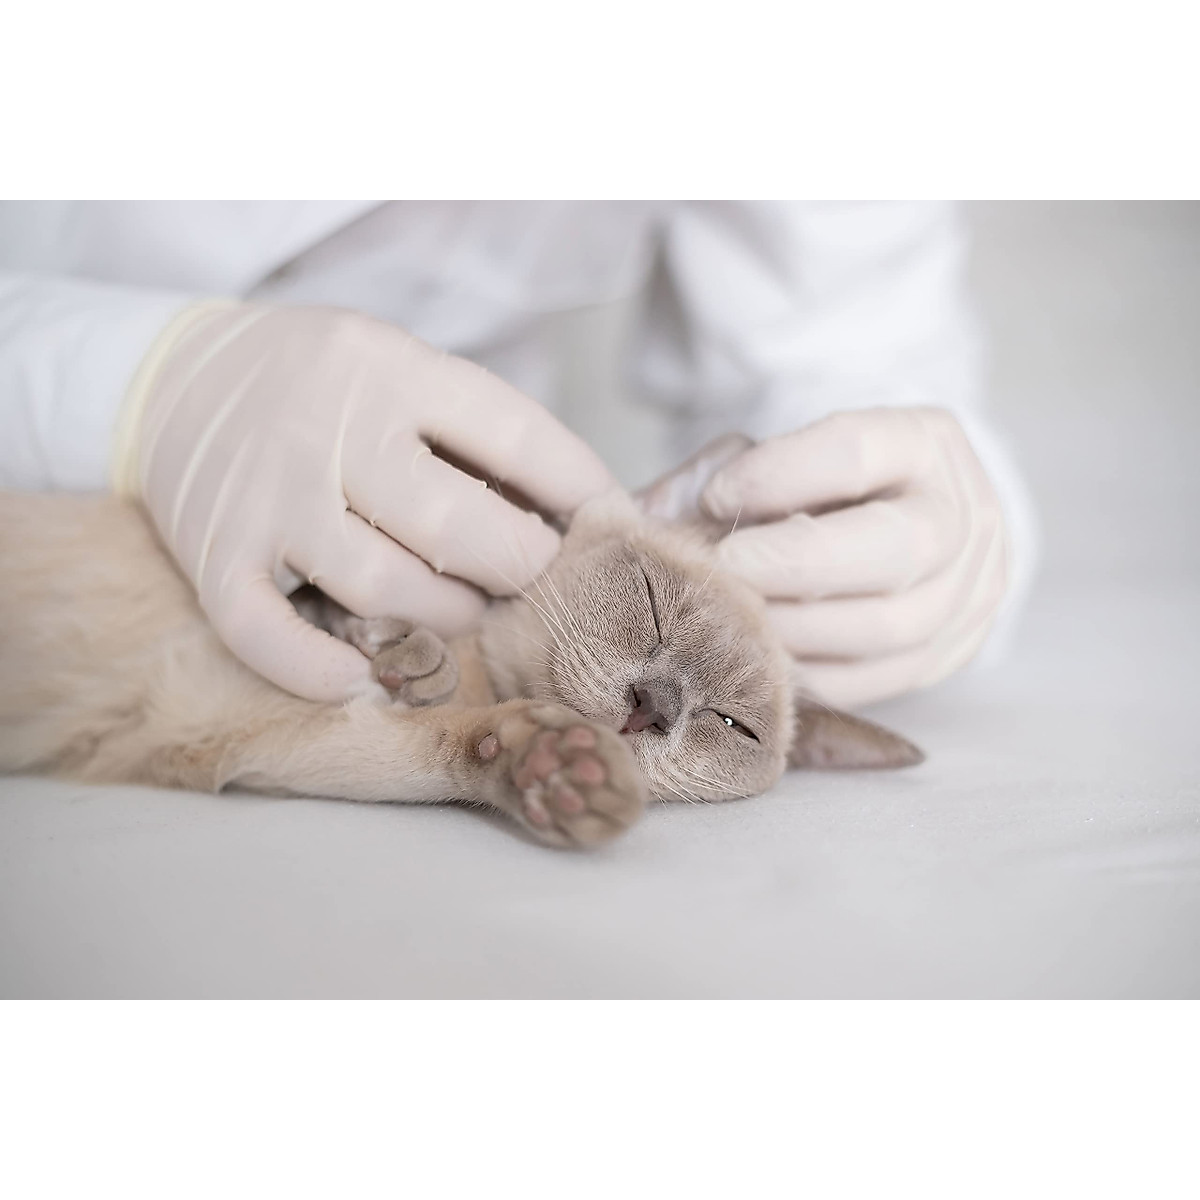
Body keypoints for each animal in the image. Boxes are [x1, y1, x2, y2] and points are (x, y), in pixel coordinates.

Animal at [0, 436, 922, 848]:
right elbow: (337, 603)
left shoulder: (272, 745)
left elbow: (459, 748)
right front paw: (402, 649)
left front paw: (560, 778)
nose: (652, 706)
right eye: (652, 603)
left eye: (731, 725)